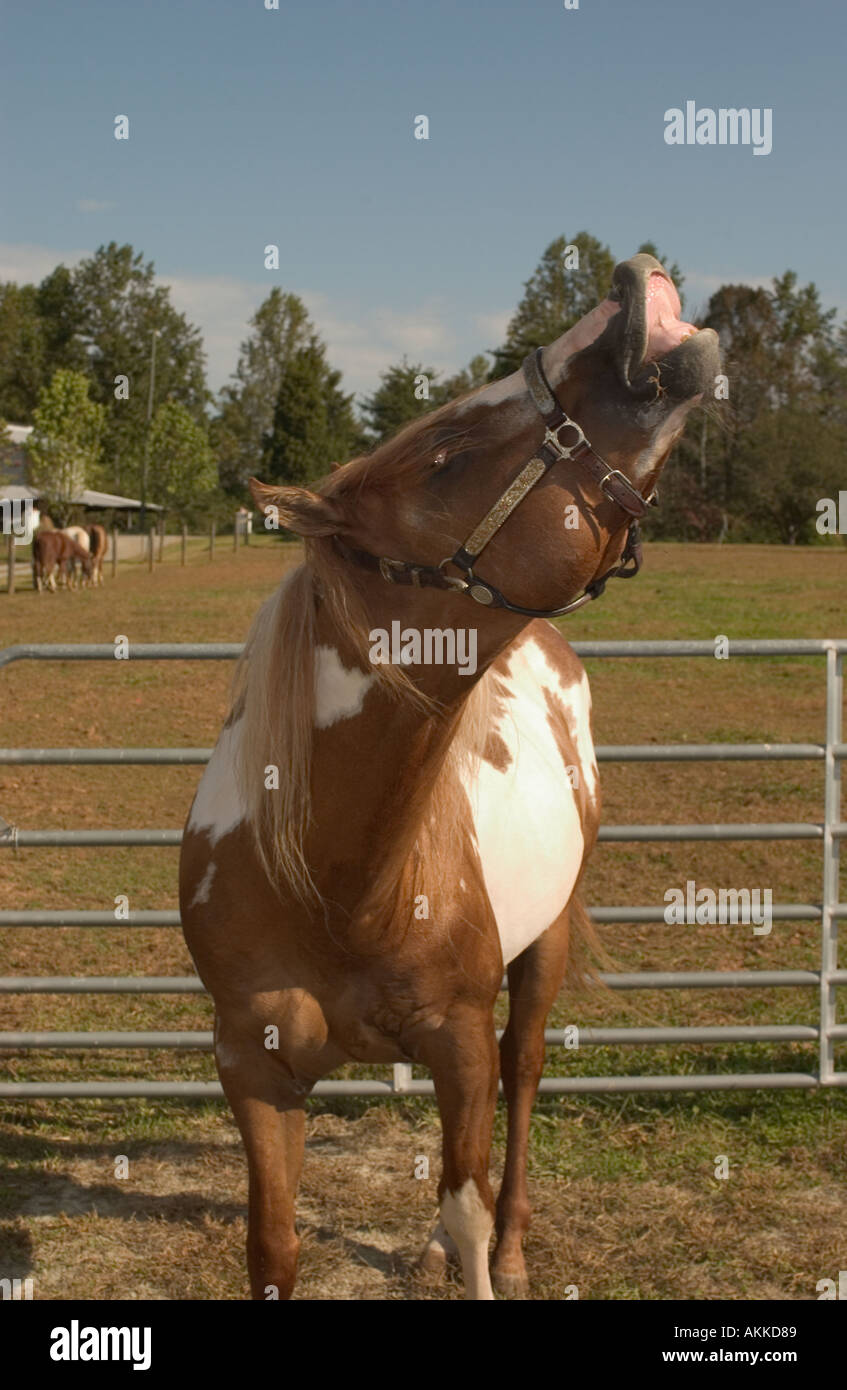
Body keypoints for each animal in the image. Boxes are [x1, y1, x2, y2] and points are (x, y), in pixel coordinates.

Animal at [179, 252, 720, 1300]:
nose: (626, 288)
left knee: (525, 1073)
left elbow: (466, 1201)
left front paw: (479, 1253)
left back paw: (513, 1247)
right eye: (445, 453)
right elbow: (274, 1247)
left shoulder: (460, 1043)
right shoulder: (251, 1069)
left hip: (541, 949)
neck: (335, 880)